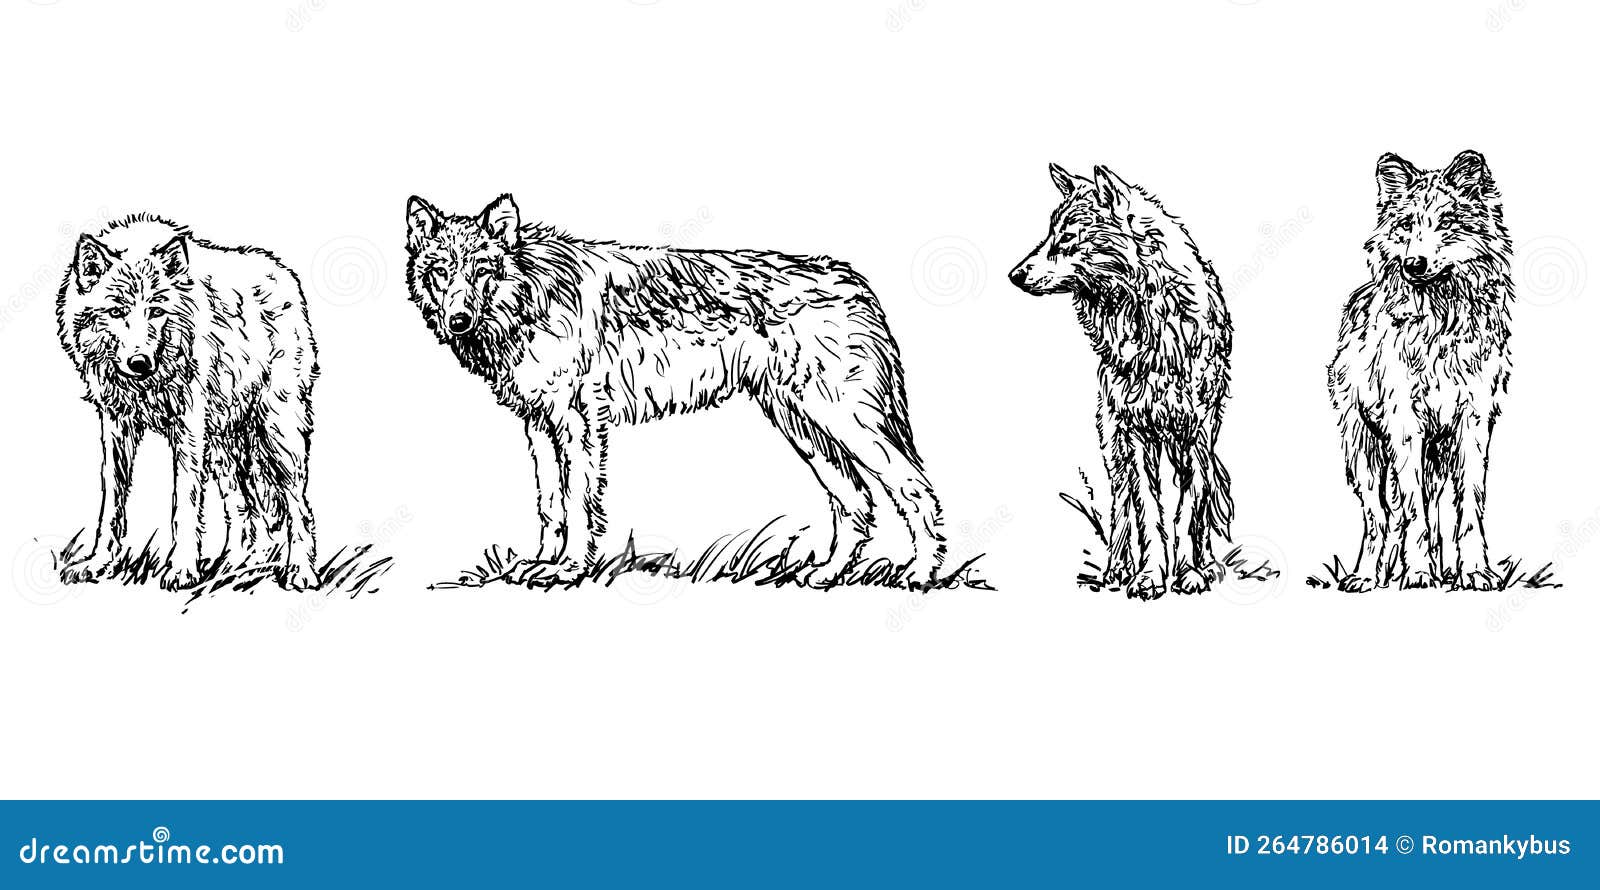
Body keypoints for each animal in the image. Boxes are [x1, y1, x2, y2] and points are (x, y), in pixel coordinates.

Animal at [56, 214, 320, 590]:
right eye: (117, 311)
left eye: (155, 311)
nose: (140, 362)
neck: (148, 382)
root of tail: (282, 273)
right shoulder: (116, 425)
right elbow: (111, 503)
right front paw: (99, 563)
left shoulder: (188, 430)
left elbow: (185, 505)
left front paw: (181, 570)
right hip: (223, 446)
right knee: (244, 507)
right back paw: (233, 566)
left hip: (276, 433)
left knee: (298, 504)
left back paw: (300, 571)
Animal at [403, 194, 944, 588]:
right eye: (440, 273)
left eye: (481, 272)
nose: (458, 320)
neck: (530, 300)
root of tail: (854, 279)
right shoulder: (539, 425)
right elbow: (550, 506)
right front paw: (538, 563)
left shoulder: (579, 422)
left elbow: (578, 504)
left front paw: (568, 569)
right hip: (805, 428)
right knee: (856, 502)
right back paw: (828, 573)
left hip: (844, 423)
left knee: (914, 488)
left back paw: (921, 573)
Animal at [1010, 165, 1234, 597]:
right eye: (1049, 233)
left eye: (1067, 237)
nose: (1014, 275)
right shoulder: (1133, 434)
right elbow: (1147, 510)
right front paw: (1150, 577)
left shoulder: (1196, 435)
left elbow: (1189, 510)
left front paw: (1190, 573)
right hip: (1113, 442)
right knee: (1121, 506)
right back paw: (1116, 569)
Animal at [1328, 150, 1512, 591]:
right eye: (1407, 225)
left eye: (1446, 223)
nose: (1414, 264)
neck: (1439, 324)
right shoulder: (1405, 425)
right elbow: (1412, 510)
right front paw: (1416, 574)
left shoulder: (1473, 423)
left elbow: (1469, 506)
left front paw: (1475, 572)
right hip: (1363, 453)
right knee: (1379, 517)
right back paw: (1368, 576)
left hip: (1438, 458)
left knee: (1436, 509)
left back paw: (1441, 569)